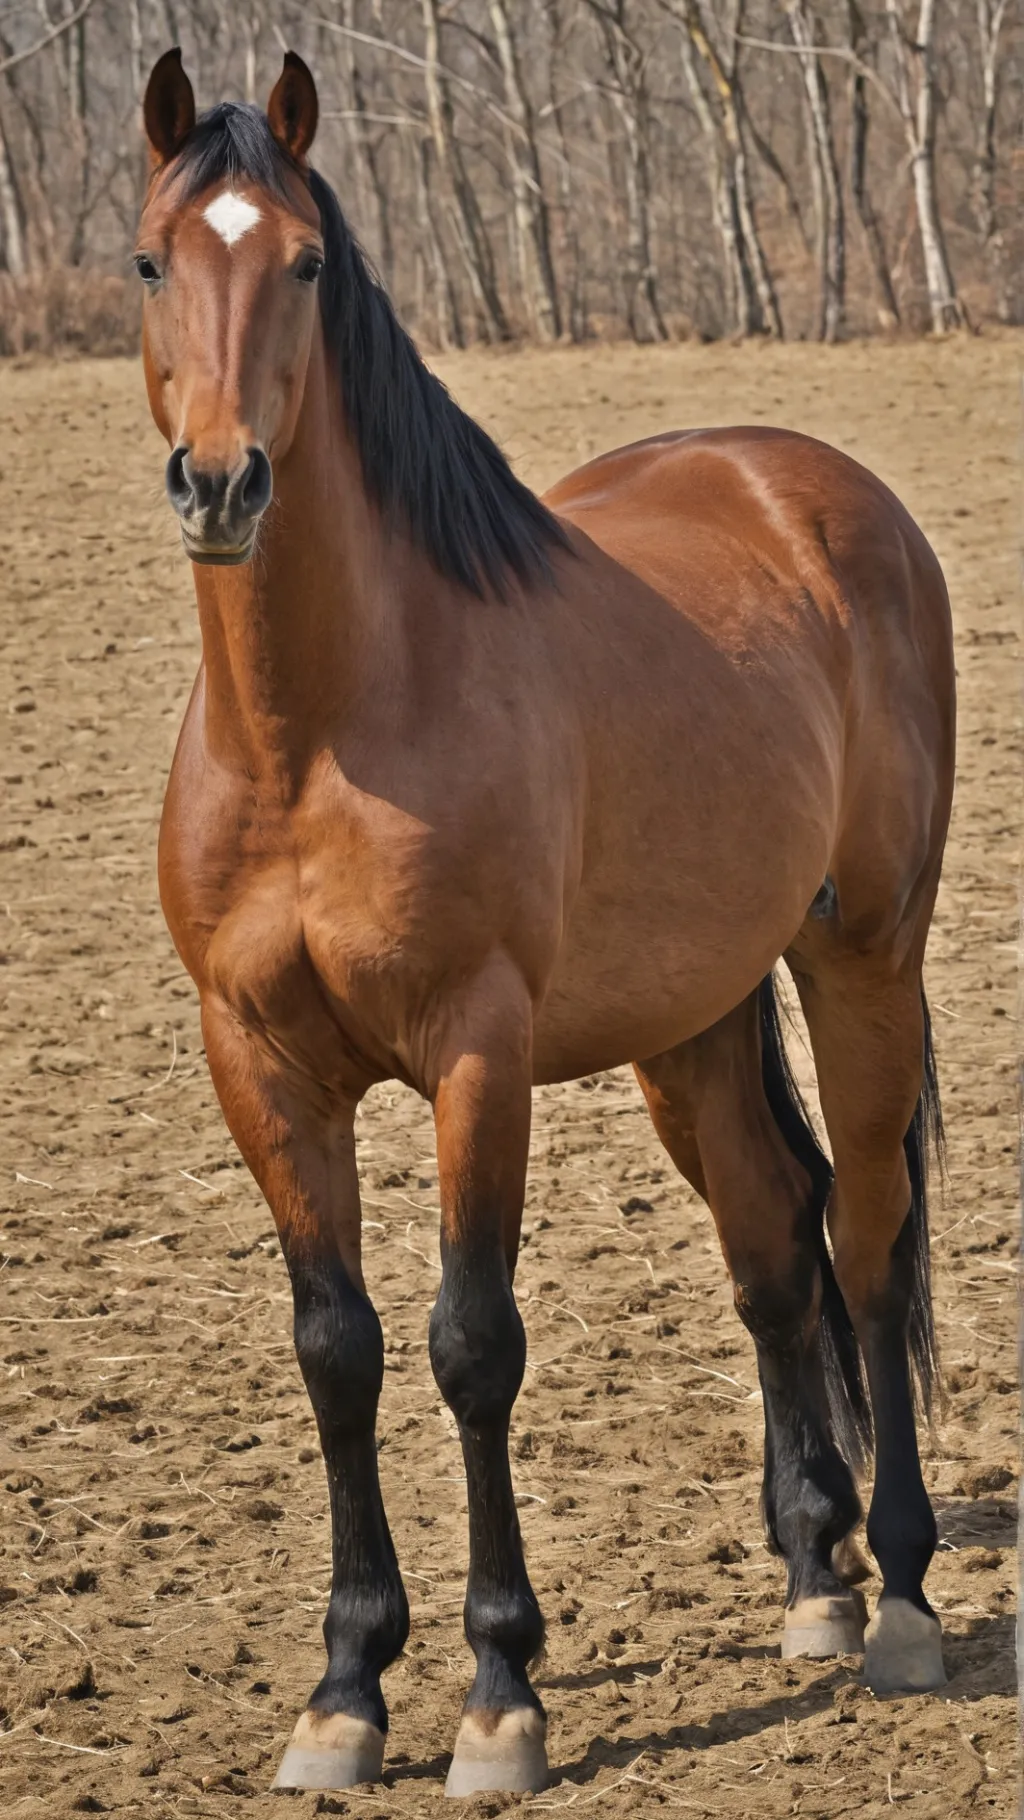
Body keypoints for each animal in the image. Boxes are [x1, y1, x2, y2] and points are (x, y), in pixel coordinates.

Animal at [135, 47, 955, 1798]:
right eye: (156, 261)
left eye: (306, 264)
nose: (223, 482)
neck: (319, 730)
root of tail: (811, 487)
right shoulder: (260, 1067)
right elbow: (337, 1347)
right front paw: (344, 1693)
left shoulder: (477, 1054)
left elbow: (469, 1342)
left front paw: (499, 1694)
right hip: (691, 1019)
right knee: (772, 1245)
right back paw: (816, 1582)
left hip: (863, 958)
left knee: (863, 1238)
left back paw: (909, 1599)